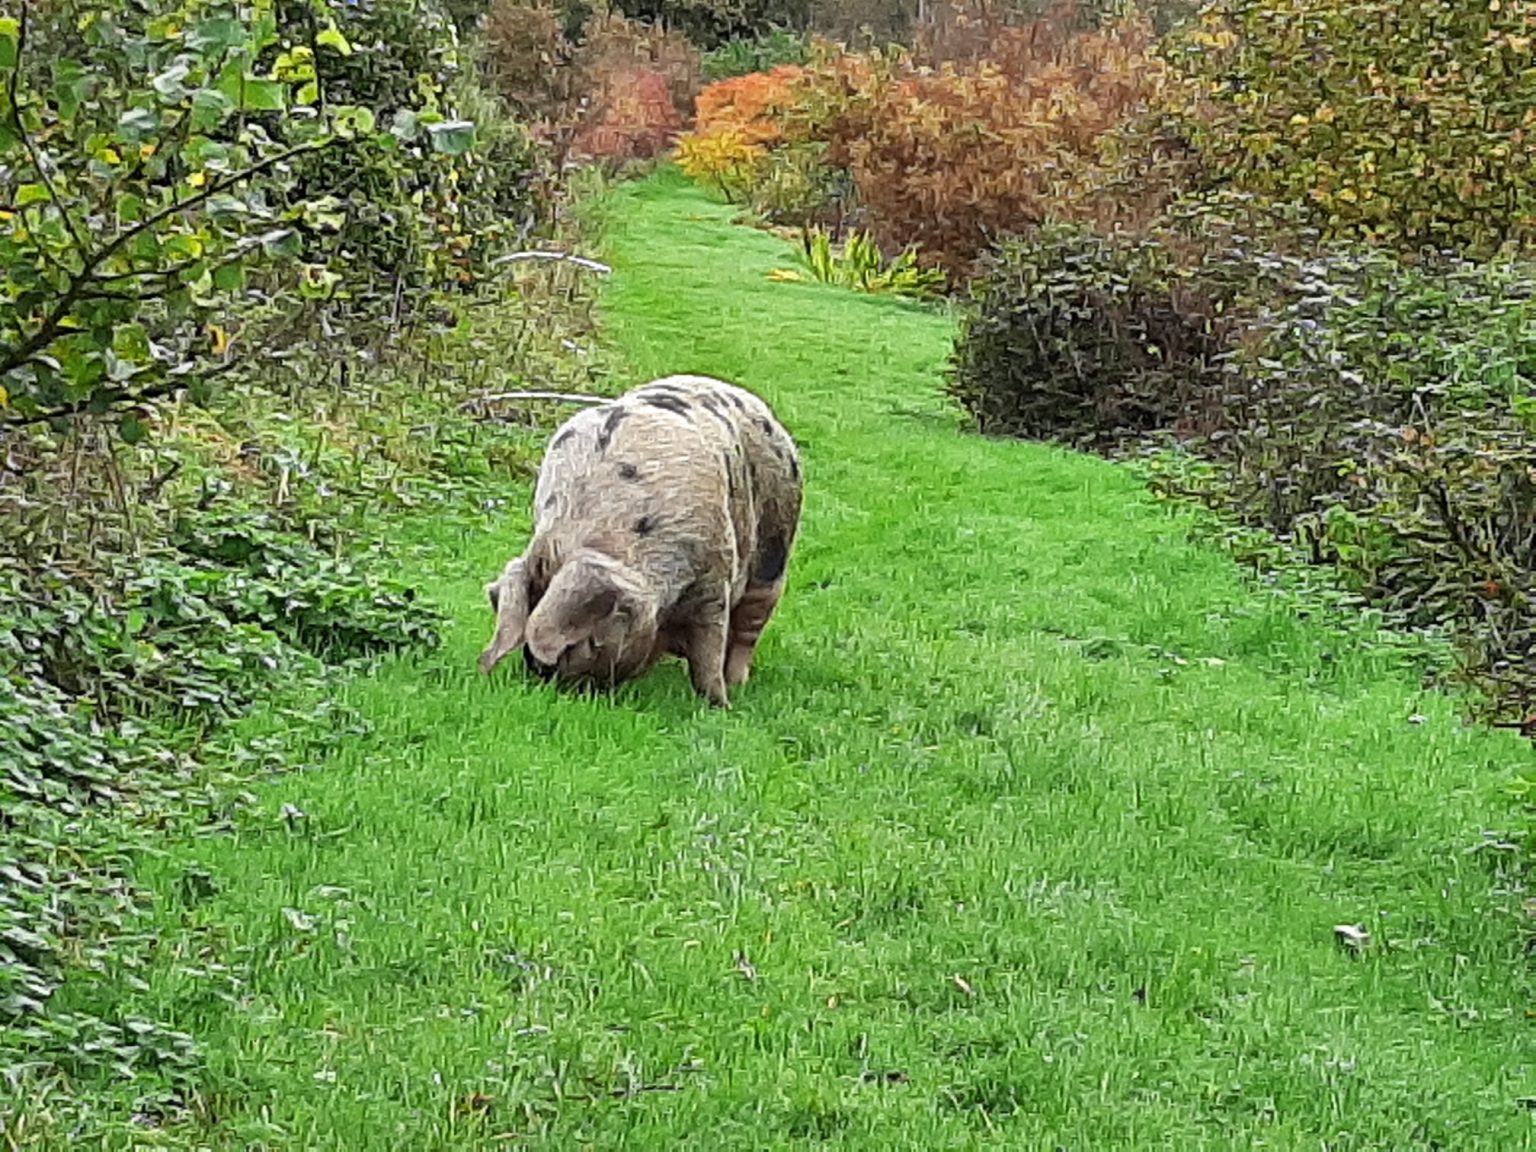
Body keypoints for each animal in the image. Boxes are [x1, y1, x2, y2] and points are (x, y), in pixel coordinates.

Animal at [478, 374, 803, 708]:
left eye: (587, 641)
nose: (539, 672)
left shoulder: (714, 575)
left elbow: (708, 652)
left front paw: (720, 706)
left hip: (776, 544)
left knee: (749, 625)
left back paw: (737, 682)